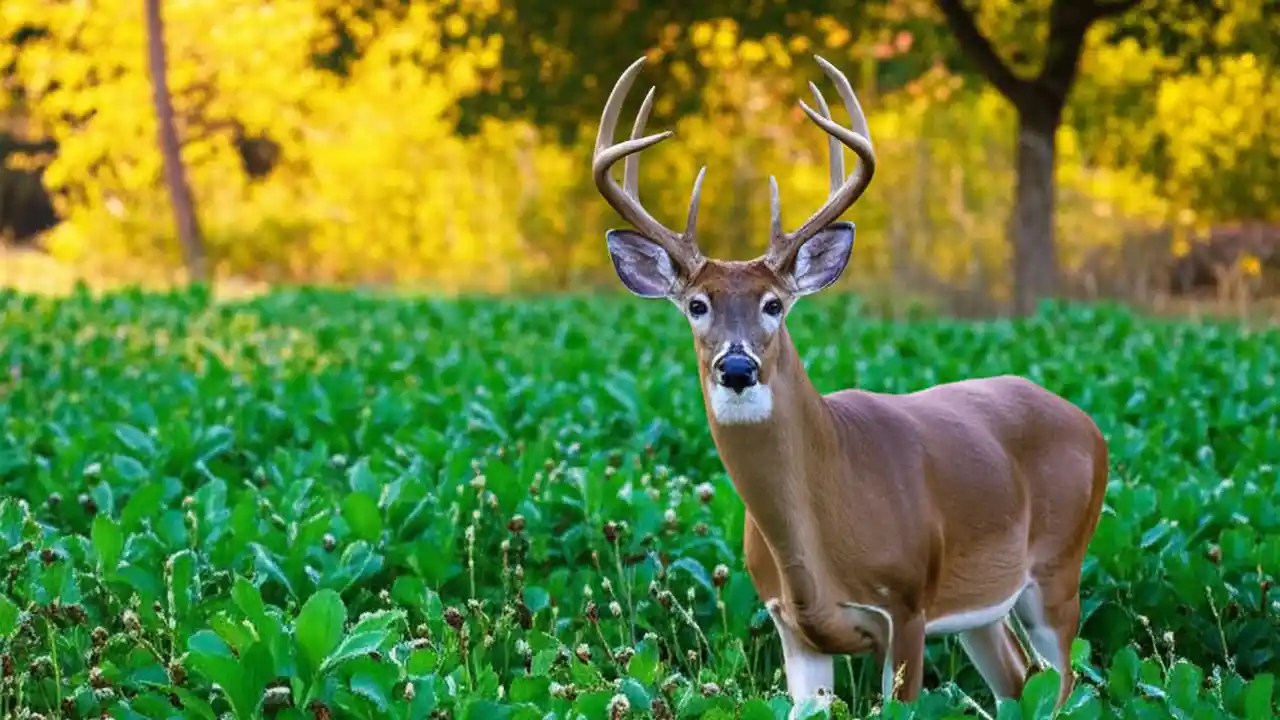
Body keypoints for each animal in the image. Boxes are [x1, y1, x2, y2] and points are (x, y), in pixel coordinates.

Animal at [591, 55, 1109, 715]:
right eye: (697, 305)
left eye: (774, 304)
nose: (737, 369)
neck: (815, 551)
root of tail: (1089, 424)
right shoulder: (791, 626)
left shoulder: (907, 605)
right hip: (982, 610)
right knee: (1018, 686)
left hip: (1059, 568)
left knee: (1066, 686)